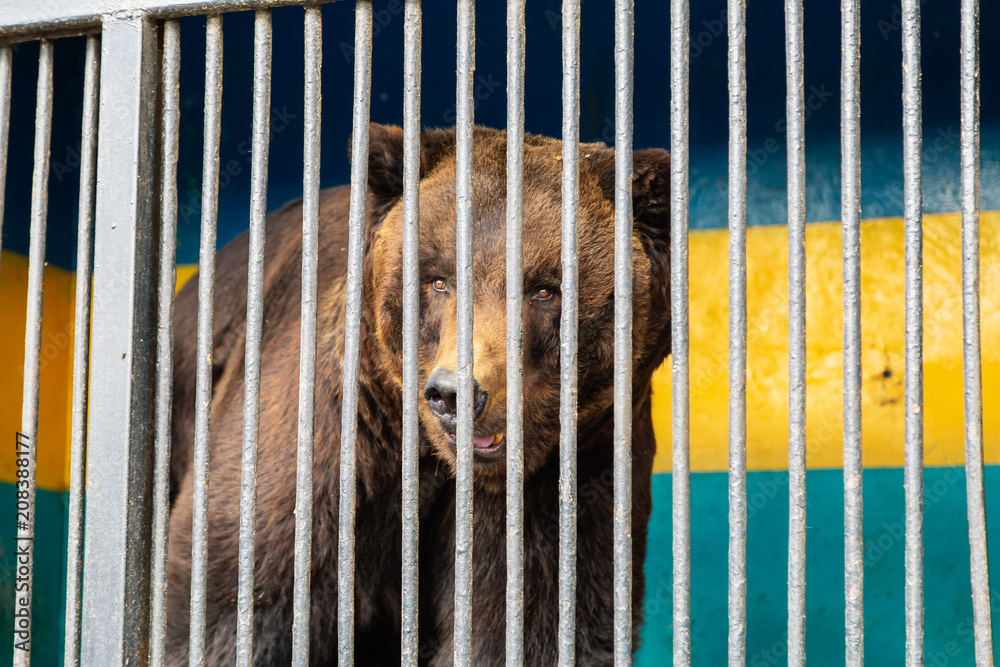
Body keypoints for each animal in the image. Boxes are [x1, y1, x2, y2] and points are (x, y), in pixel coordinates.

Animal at [165, 123, 671, 666]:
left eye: (544, 289)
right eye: (438, 279)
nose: (455, 394)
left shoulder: (571, 478)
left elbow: (524, 625)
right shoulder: (331, 439)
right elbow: (244, 600)